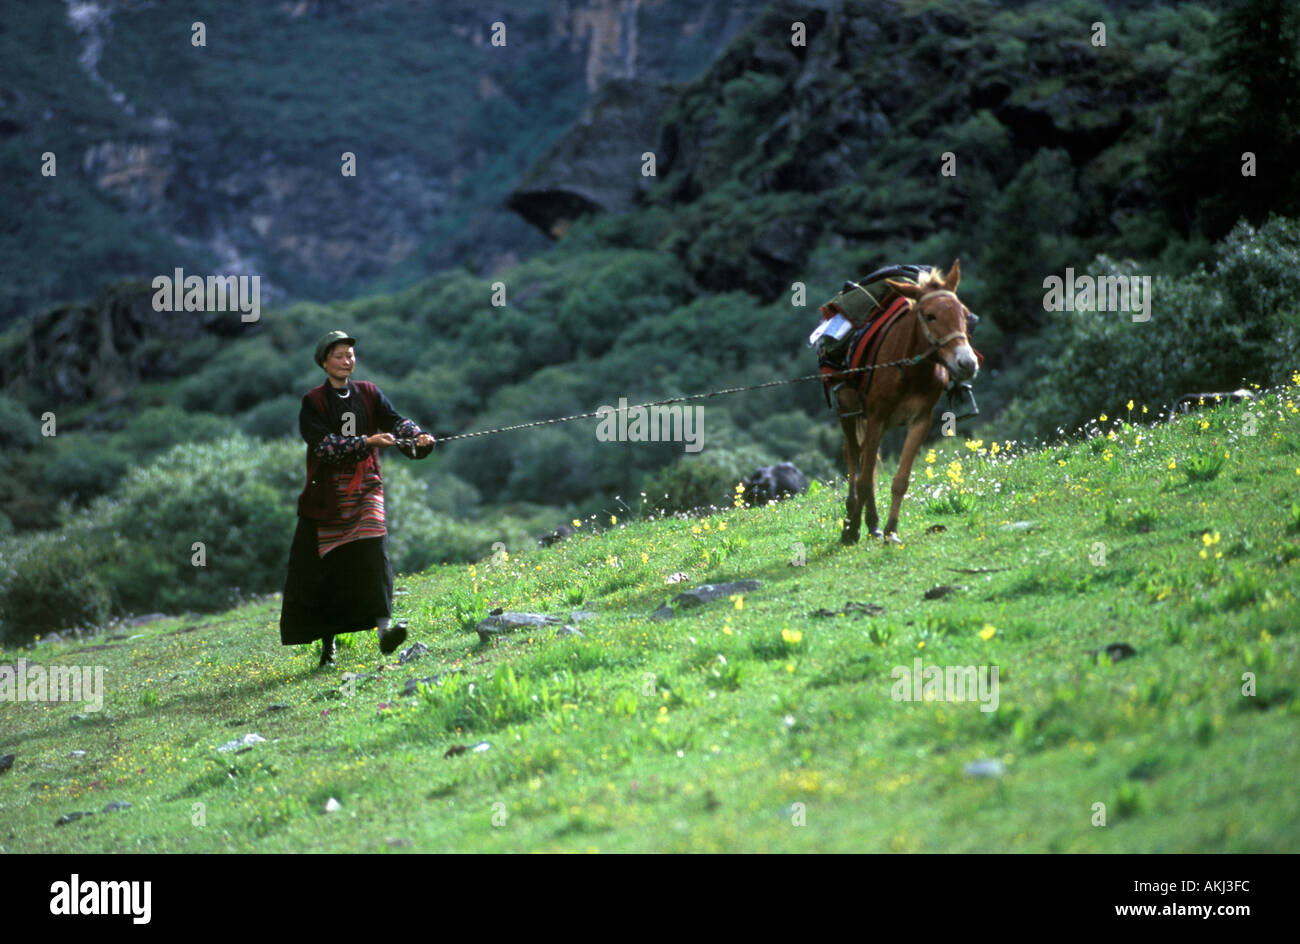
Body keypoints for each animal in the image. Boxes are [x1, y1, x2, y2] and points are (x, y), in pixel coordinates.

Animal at [830, 260, 979, 545]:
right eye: (930, 316)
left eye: (965, 314)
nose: (967, 363)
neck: (909, 369)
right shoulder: (876, 418)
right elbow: (864, 479)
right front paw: (853, 530)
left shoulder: (920, 421)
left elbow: (900, 480)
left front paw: (890, 530)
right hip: (848, 413)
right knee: (854, 459)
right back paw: (853, 520)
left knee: (867, 463)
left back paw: (873, 524)